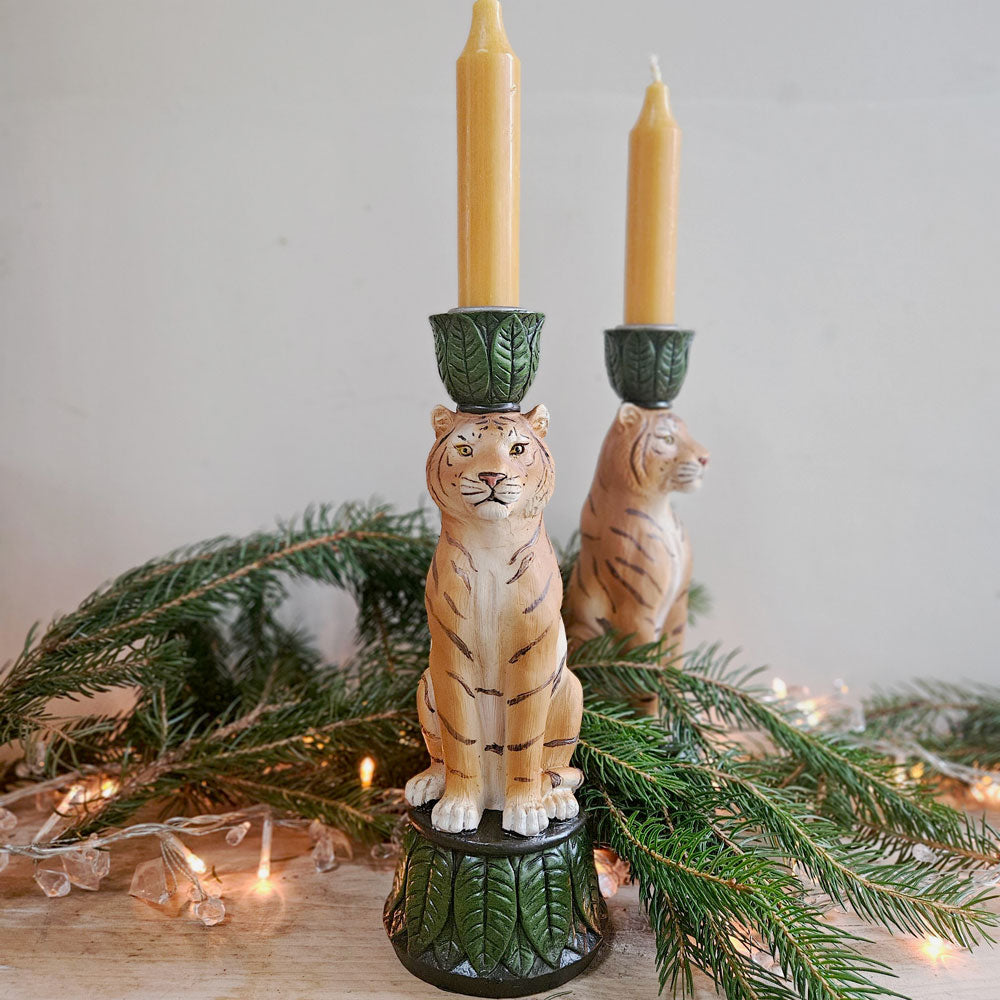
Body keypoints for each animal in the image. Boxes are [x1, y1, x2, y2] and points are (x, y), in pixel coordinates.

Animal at [405, 403, 584, 836]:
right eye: (465, 450)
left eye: (517, 448)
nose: (492, 476)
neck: (490, 542)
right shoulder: (449, 659)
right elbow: (460, 741)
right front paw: (456, 809)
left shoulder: (533, 658)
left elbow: (524, 743)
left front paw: (526, 812)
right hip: (424, 685)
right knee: (438, 755)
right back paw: (427, 783)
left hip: (571, 690)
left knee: (561, 770)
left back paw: (555, 800)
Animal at [563, 403, 710, 690]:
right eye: (668, 439)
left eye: (687, 433)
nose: (706, 458)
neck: (660, 509)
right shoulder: (636, 614)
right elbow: (645, 676)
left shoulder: (678, 605)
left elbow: (673, 661)